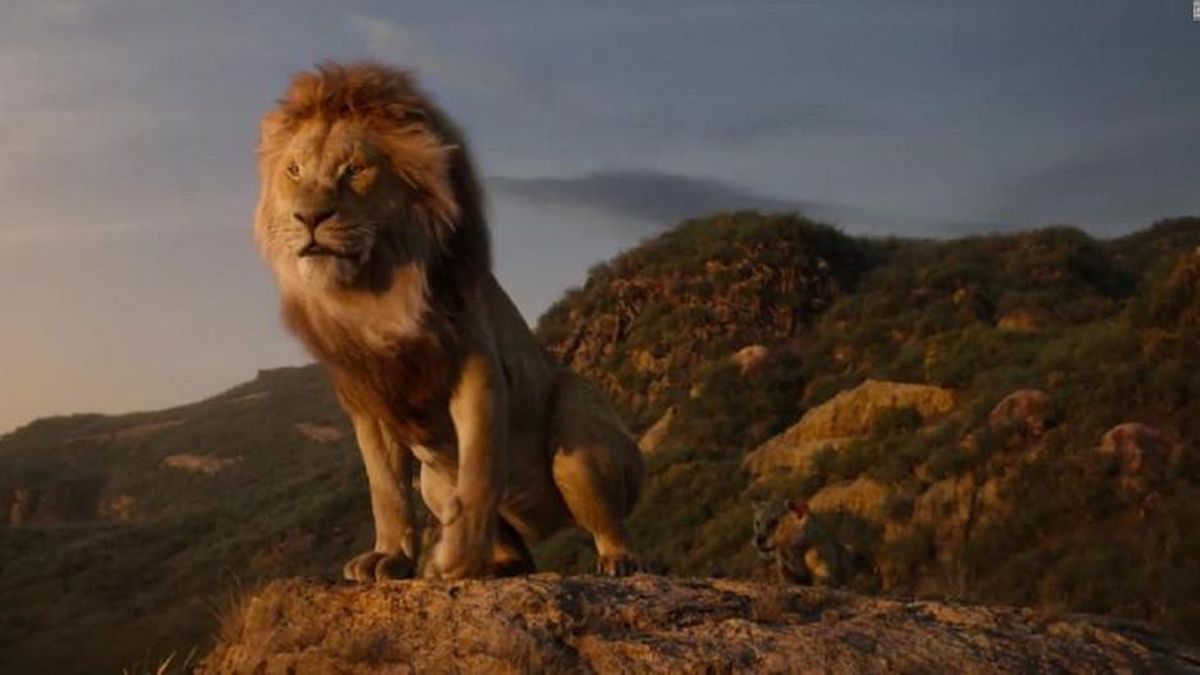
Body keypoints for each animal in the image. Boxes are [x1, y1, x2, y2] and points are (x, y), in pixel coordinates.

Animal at [253, 62, 643, 580]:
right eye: (294, 170)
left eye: (354, 169)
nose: (308, 217)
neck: (374, 291)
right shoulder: (368, 400)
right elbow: (385, 490)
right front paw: (389, 557)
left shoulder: (476, 366)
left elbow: (479, 468)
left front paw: (457, 555)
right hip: (433, 482)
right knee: (512, 547)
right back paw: (496, 564)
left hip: (579, 431)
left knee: (606, 518)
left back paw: (616, 560)